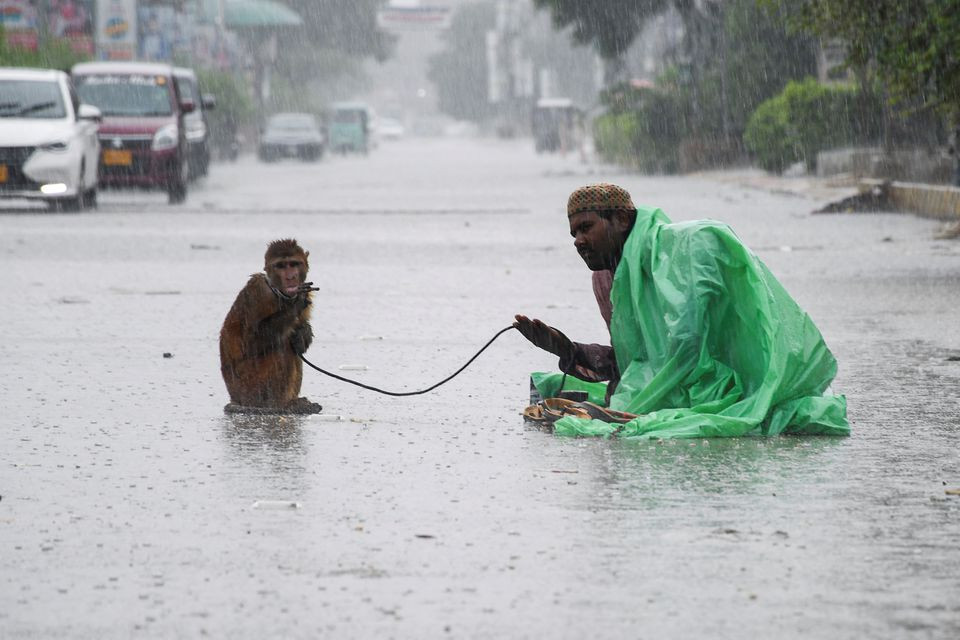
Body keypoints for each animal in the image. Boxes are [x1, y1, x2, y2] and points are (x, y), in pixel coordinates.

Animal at [219, 238, 320, 412]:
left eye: (294, 264)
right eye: (281, 266)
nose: (291, 277)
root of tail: (236, 399)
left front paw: (304, 333)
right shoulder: (258, 294)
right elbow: (252, 341)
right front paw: (294, 306)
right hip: (248, 385)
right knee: (281, 344)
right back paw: (277, 405)